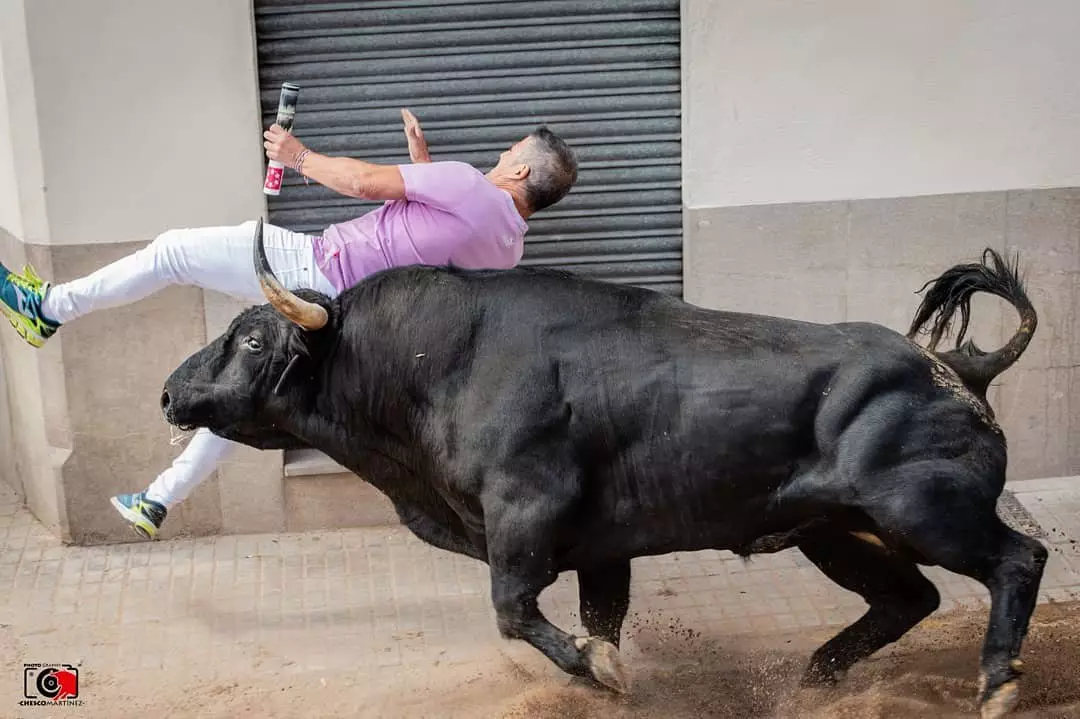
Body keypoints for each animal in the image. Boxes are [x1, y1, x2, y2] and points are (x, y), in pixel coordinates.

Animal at [162, 220, 1045, 716]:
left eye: (250, 338)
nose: (170, 391)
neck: (432, 363)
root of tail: (960, 366)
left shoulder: (525, 514)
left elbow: (517, 611)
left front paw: (603, 673)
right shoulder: (602, 548)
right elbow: (599, 616)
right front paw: (608, 671)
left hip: (922, 509)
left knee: (1017, 559)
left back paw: (996, 682)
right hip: (836, 530)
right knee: (908, 598)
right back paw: (811, 681)